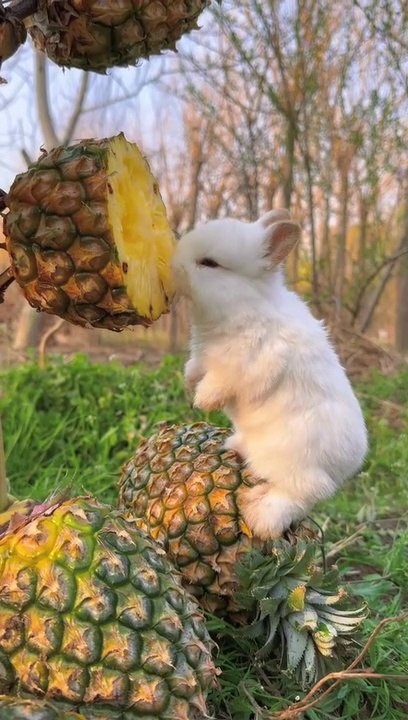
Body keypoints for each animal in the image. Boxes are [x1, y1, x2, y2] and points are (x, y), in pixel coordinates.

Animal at [171, 209, 368, 539]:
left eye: (209, 263)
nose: (173, 265)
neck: (246, 304)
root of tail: (351, 462)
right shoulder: (202, 354)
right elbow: (196, 367)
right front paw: (189, 383)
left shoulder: (245, 363)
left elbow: (219, 382)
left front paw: (202, 401)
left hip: (293, 462)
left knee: (303, 493)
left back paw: (260, 516)